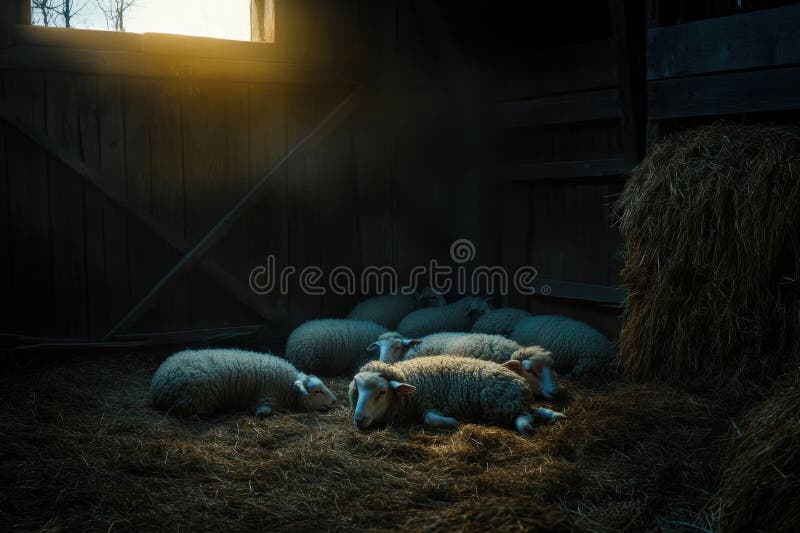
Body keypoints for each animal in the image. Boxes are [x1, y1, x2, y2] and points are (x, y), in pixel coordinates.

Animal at [150, 348, 336, 417]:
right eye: (317, 391)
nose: (335, 401)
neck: (287, 384)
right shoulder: (266, 397)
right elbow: (263, 411)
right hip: (196, 398)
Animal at [348, 356, 565, 435]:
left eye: (382, 392)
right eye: (357, 389)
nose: (359, 419)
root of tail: (521, 383)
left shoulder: (430, 404)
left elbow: (429, 418)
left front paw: (453, 421)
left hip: (501, 403)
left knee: (525, 416)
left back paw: (526, 426)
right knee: (533, 411)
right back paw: (554, 415)